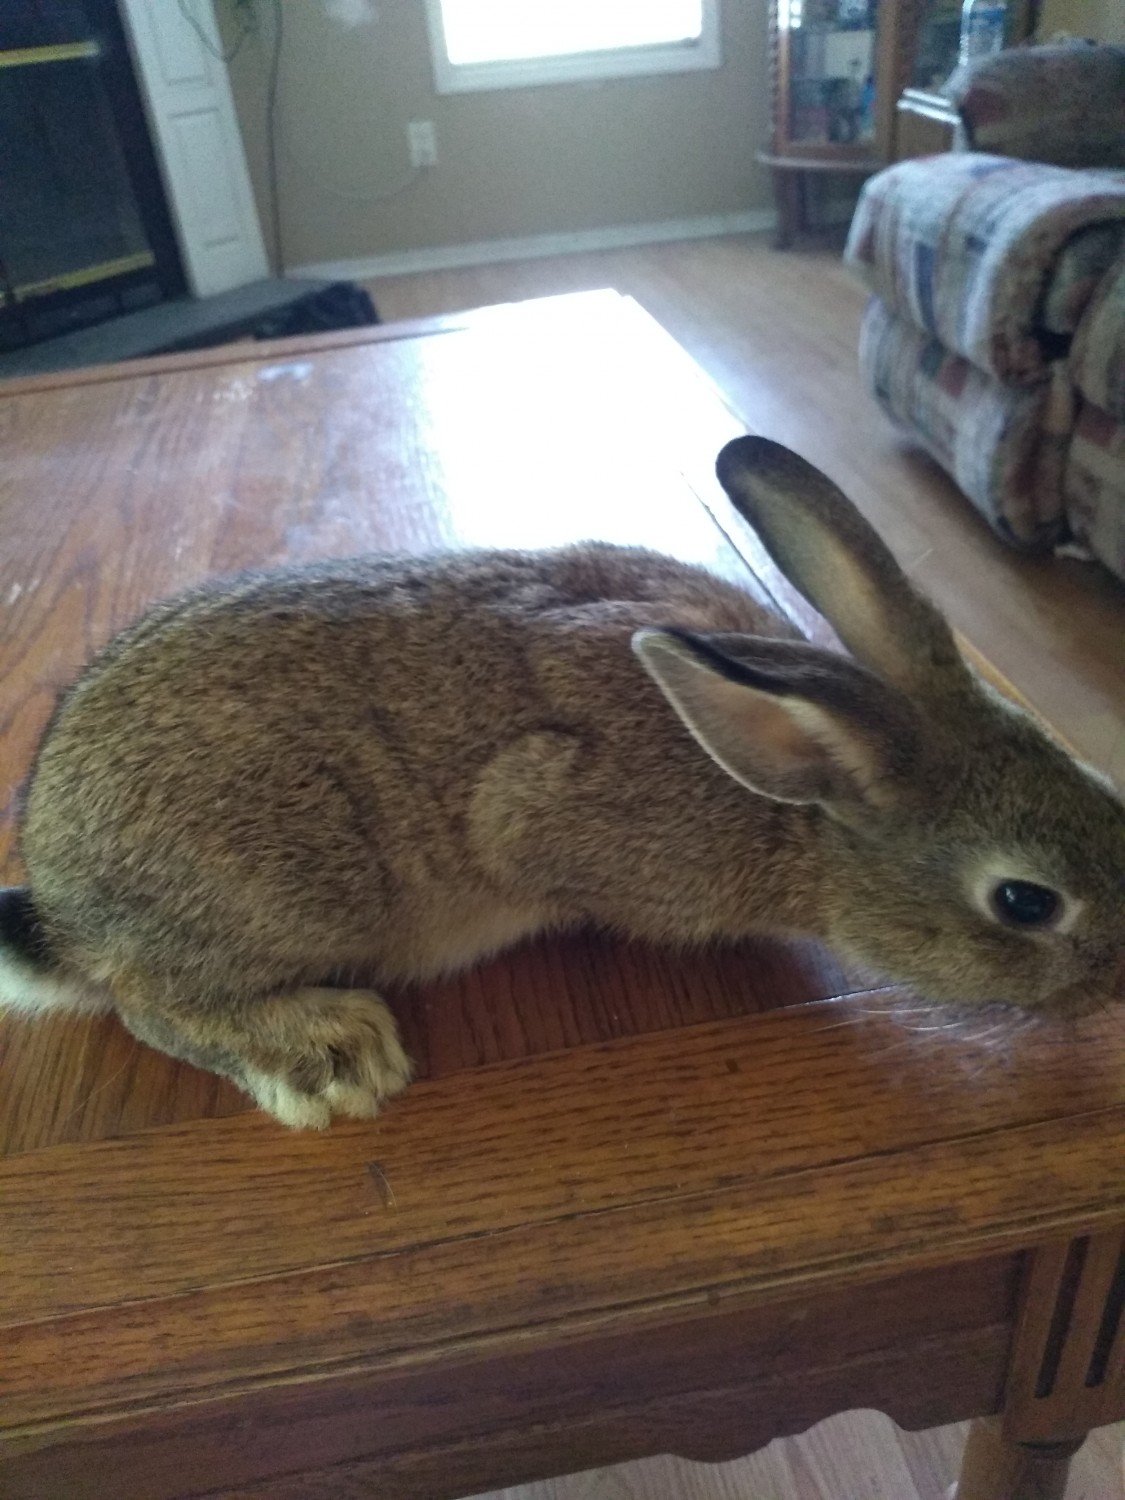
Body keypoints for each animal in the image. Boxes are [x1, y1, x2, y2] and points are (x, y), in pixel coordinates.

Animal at [1, 437, 1123, 1128]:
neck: (800, 813)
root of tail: (60, 907)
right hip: (284, 885)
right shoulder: (539, 812)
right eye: (1025, 902)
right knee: (149, 1001)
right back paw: (326, 1056)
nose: (1116, 988)